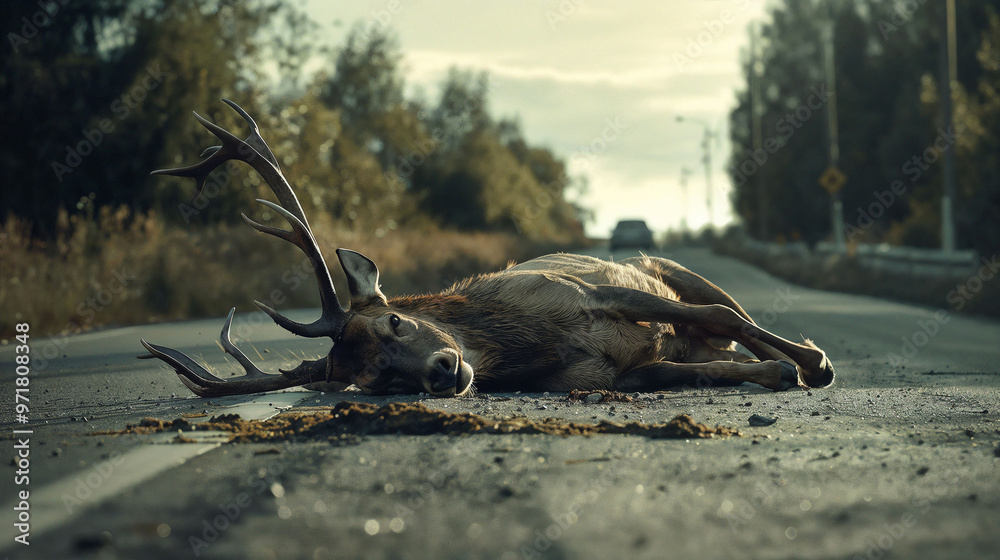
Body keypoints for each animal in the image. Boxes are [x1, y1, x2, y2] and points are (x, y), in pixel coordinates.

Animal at [139, 100, 835, 398]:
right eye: (375, 380)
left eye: (394, 322)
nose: (443, 371)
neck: (538, 342)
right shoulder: (606, 375)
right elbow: (686, 369)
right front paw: (779, 372)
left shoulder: (595, 291)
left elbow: (720, 318)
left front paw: (812, 361)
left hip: (670, 267)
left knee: (730, 312)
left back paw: (807, 356)